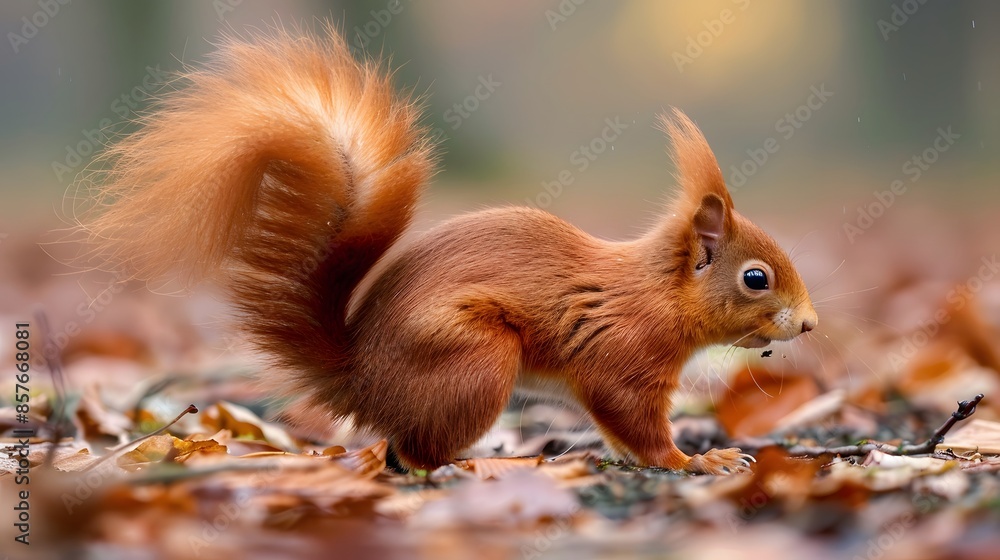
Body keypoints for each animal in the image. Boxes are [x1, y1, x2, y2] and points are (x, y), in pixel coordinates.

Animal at [78, 26, 817, 475]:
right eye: (755, 279)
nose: (809, 324)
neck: (658, 292)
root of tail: (362, 376)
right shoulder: (623, 357)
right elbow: (634, 423)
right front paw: (696, 462)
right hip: (474, 358)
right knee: (413, 451)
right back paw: (471, 463)